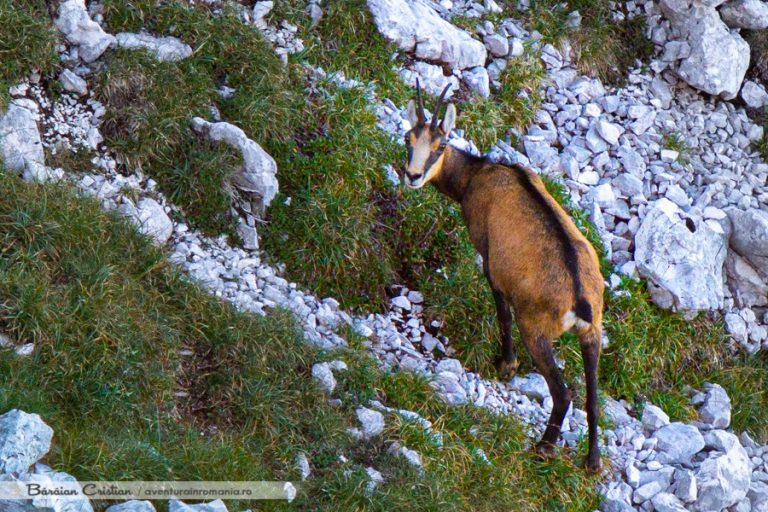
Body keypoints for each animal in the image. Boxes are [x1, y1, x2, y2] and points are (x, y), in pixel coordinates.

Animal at [402, 82, 604, 472]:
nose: (413, 176)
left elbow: (502, 312)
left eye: (440, 147)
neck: (477, 176)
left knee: (563, 391)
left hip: (537, 329)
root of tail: (580, 300)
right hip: (593, 334)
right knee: (592, 396)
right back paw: (592, 461)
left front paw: (506, 364)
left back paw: (544, 448)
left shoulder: (490, 258)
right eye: (409, 138)